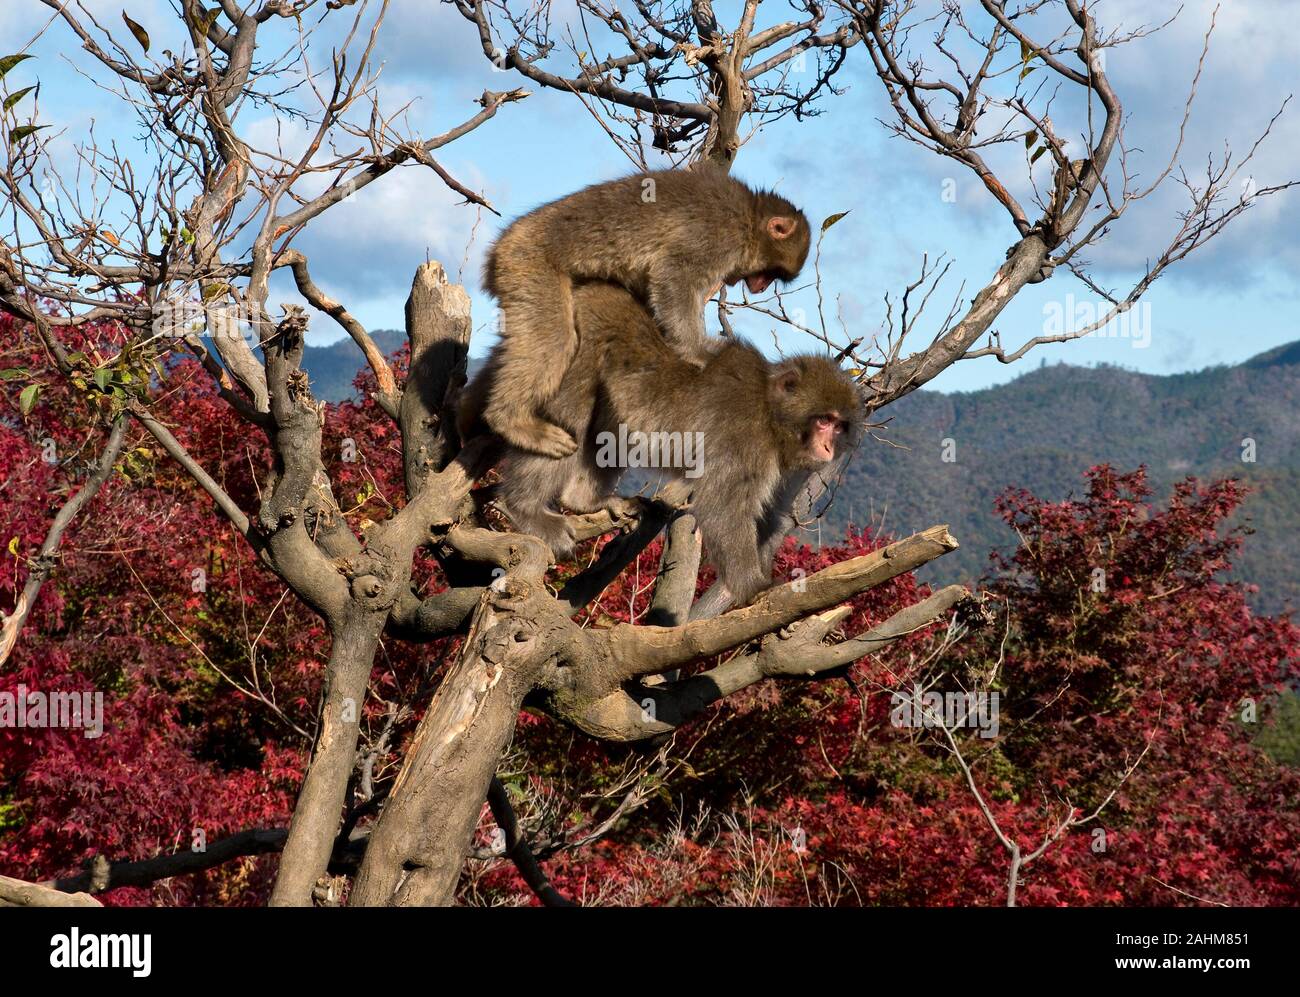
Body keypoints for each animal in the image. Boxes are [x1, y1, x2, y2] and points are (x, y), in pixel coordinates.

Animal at [459, 281, 861, 607]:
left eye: (839, 425)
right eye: (823, 420)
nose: (828, 448)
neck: (770, 414)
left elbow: (769, 518)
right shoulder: (744, 440)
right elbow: (723, 507)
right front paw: (753, 587)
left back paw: (585, 500)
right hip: (568, 351)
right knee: (570, 413)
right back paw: (526, 505)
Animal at [480, 165, 813, 460]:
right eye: (769, 274)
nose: (760, 287)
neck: (750, 217)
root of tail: (501, 246)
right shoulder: (718, 236)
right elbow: (676, 276)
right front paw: (698, 351)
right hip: (528, 263)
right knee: (556, 340)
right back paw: (512, 421)